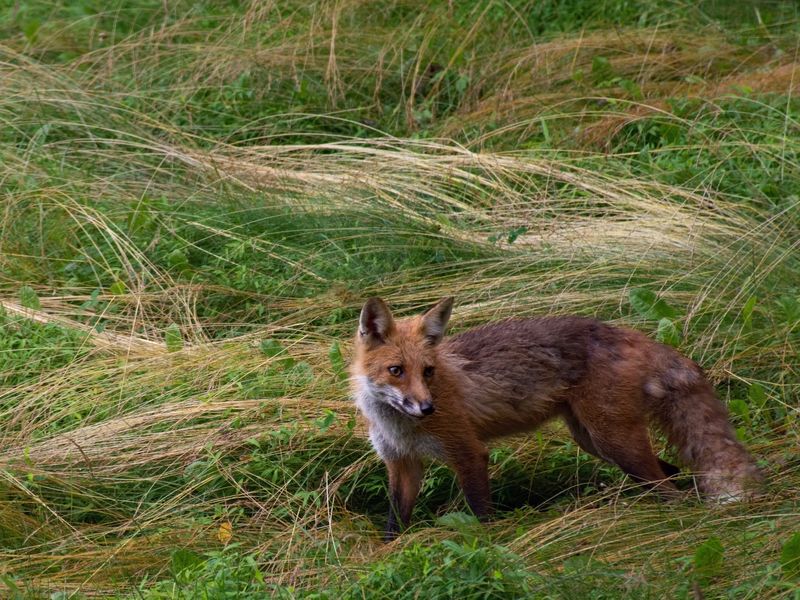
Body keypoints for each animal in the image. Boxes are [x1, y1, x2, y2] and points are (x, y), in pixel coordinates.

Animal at [350, 296, 763, 539]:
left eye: (429, 372)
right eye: (396, 370)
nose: (427, 408)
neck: (402, 427)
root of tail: (629, 333)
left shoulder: (468, 452)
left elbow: (482, 514)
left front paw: (489, 547)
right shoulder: (401, 463)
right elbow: (394, 522)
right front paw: (390, 553)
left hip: (615, 441)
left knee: (669, 486)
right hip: (596, 442)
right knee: (672, 473)